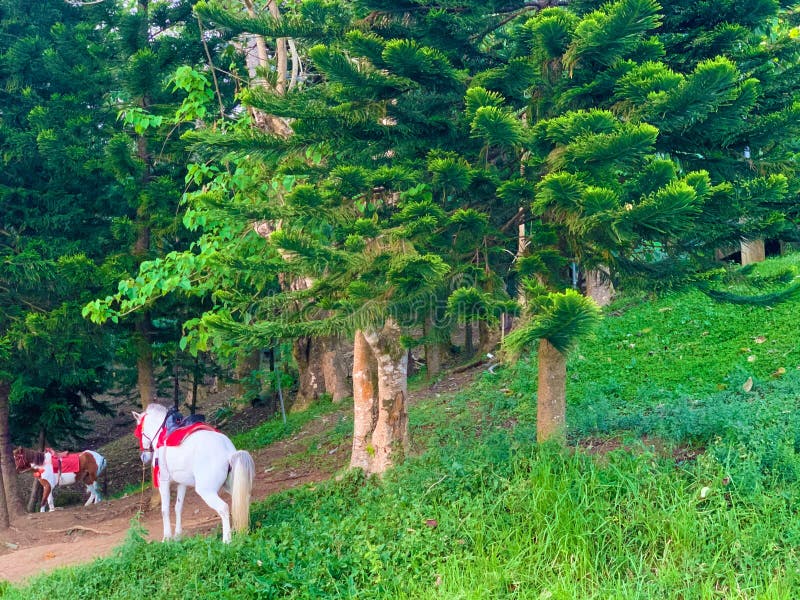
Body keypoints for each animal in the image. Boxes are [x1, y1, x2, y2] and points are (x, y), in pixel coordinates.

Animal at [132, 403, 255, 543]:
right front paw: (177, 536)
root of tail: (228, 452)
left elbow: (165, 509)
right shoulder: (181, 483)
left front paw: (167, 538)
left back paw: (226, 540)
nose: (143, 457)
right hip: (234, 485)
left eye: (140, 433)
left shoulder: (163, 482)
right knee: (242, 500)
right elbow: (178, 508)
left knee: (223, 507)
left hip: (206, 491)